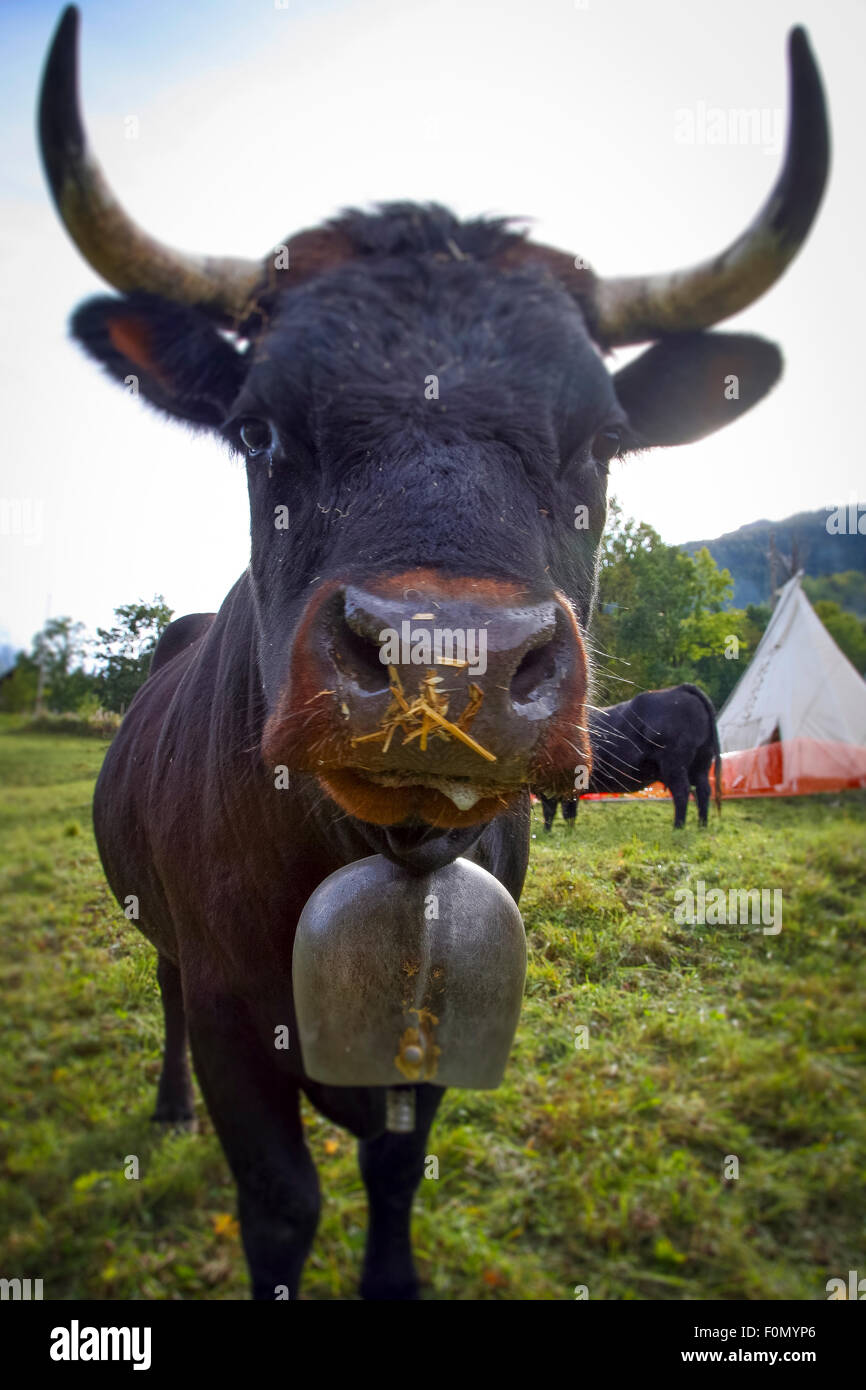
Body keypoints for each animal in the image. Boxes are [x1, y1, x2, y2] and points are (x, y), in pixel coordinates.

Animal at [540, 684, 722, 831]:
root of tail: (680, 688)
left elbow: (557, 809)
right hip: (702, 762)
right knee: (703, 791)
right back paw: (702, 826)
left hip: (674, 765)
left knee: (682, 792)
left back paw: (678, 827)